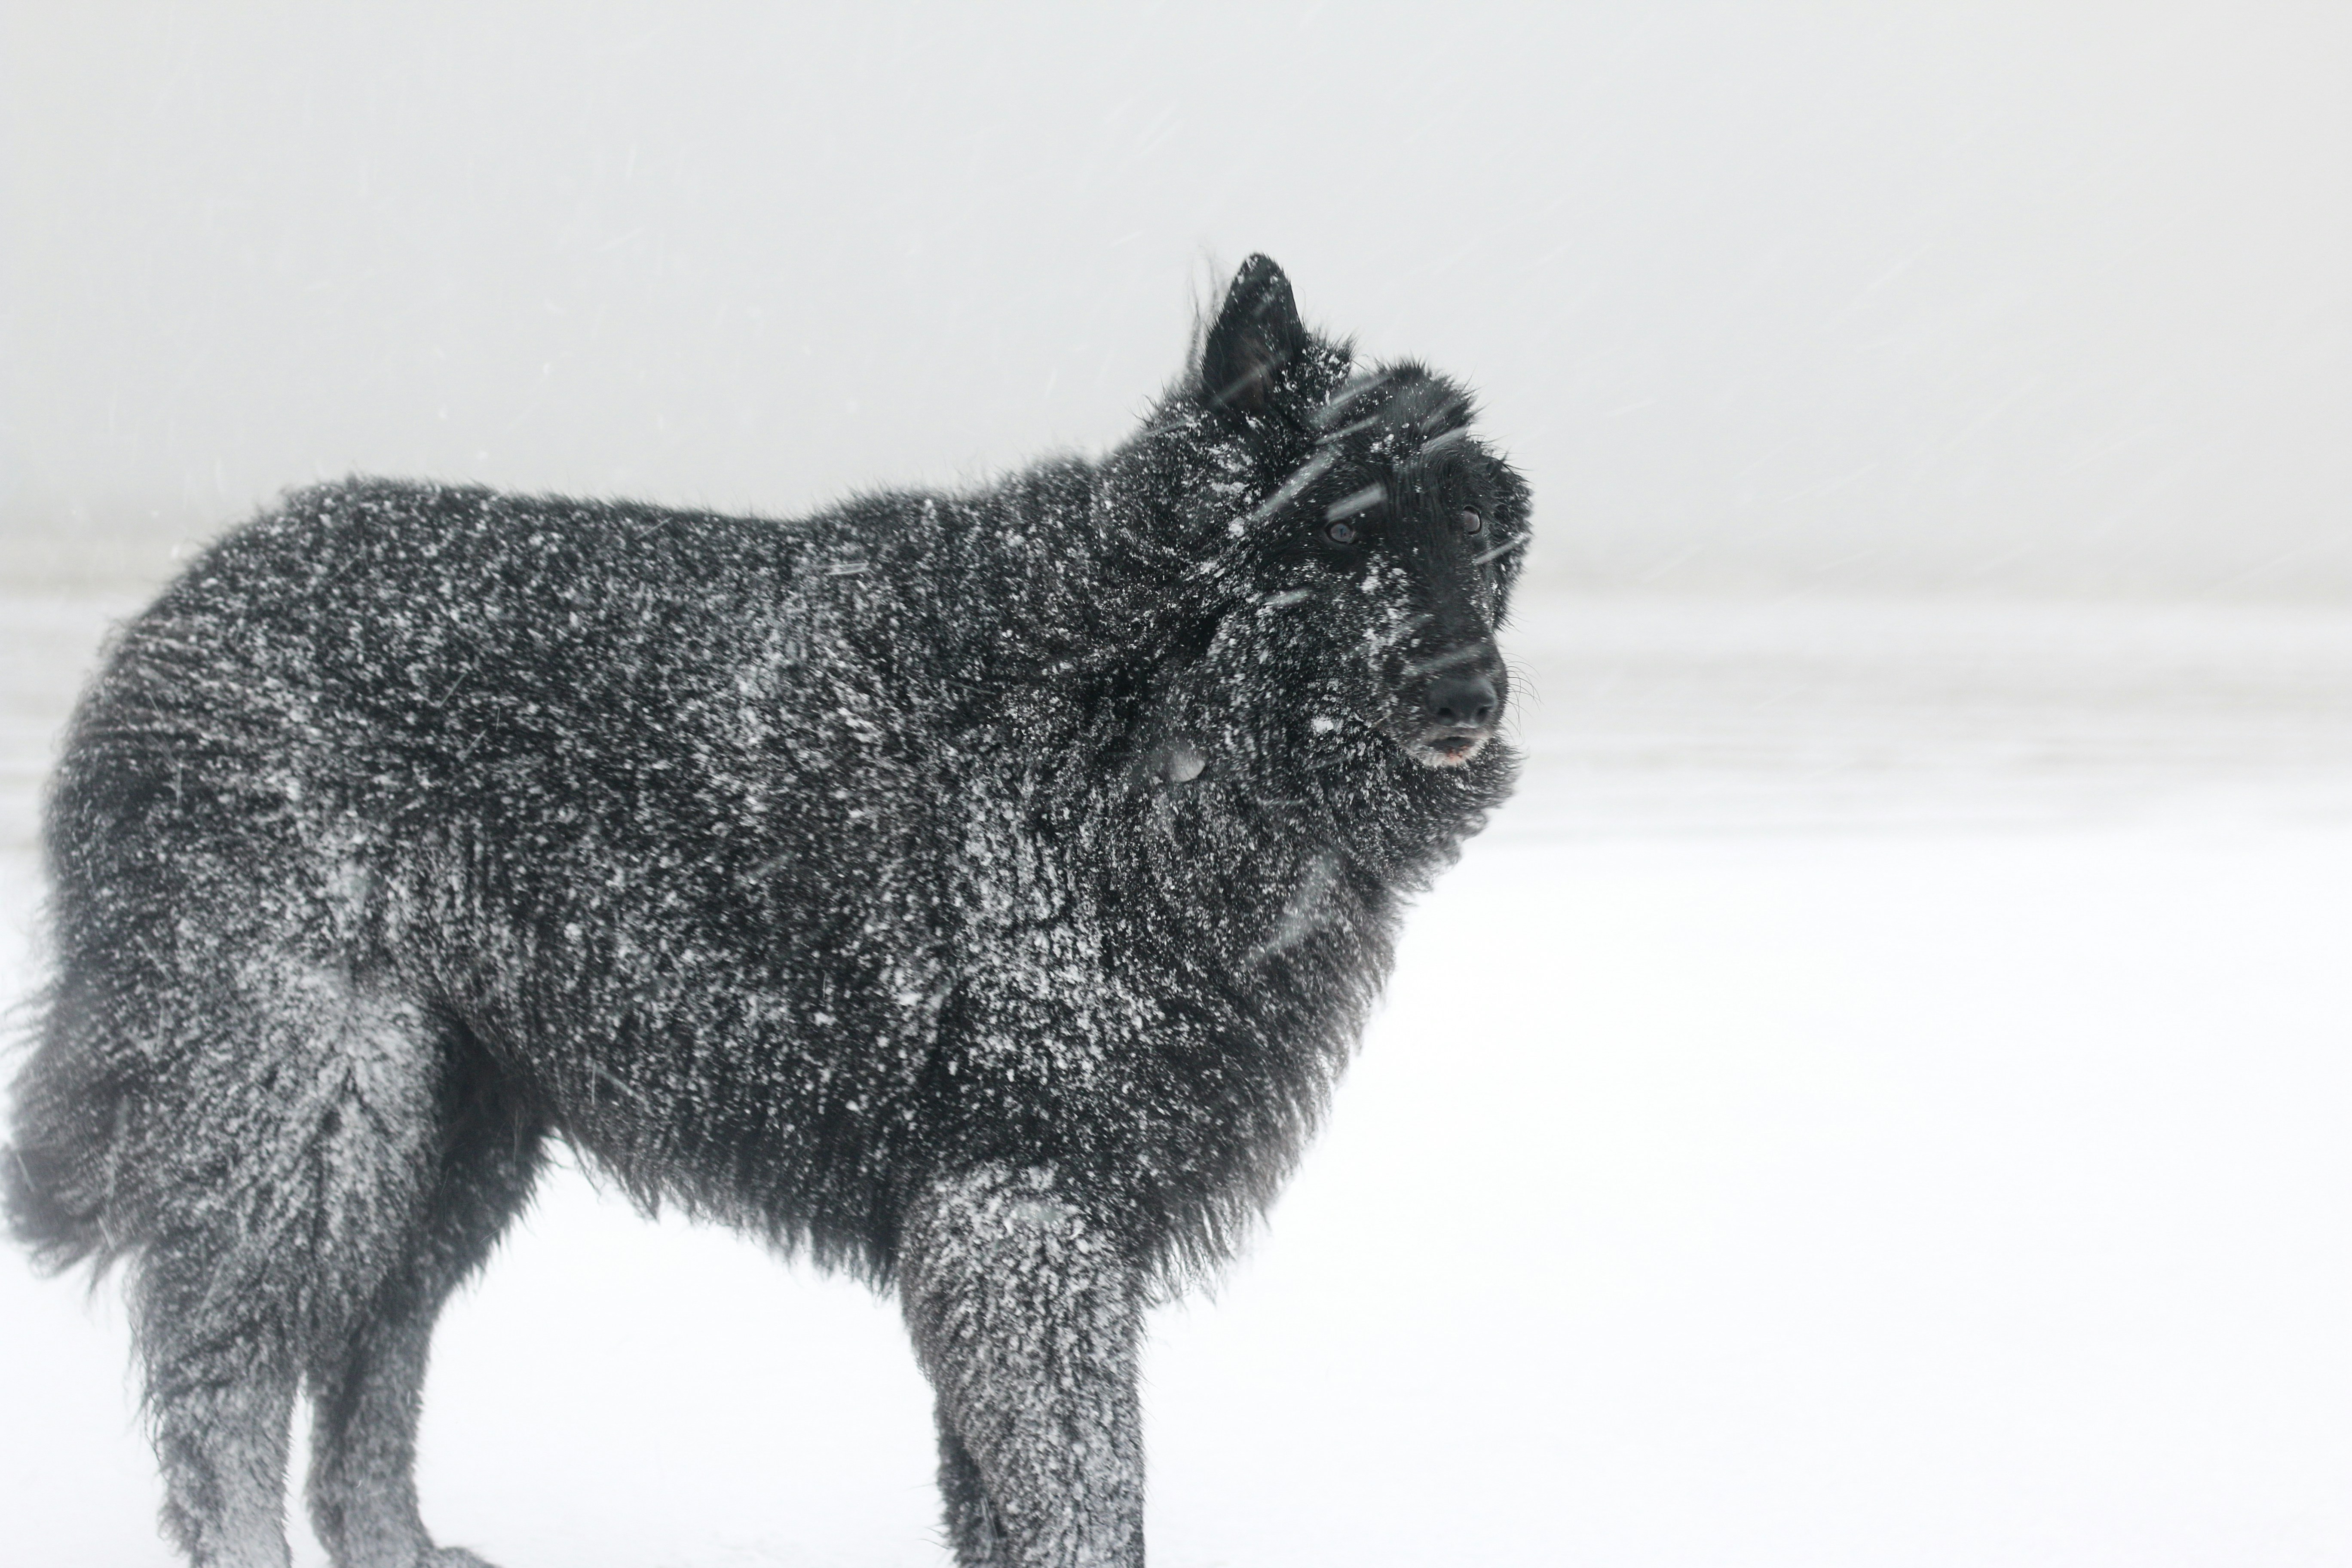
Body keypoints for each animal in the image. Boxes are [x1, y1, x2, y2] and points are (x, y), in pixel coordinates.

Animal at [5, 255, 1528, 1567]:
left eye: (1475, 537)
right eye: (1346, 536)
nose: (1476, 692)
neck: (1132, 703)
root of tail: (164, 622)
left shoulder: (995, 1227)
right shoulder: (1023, 1210)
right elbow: (1087, 1498)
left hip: (450, 1134)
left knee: (368, 1376)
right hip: (314, 1109)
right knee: (227, 1390)